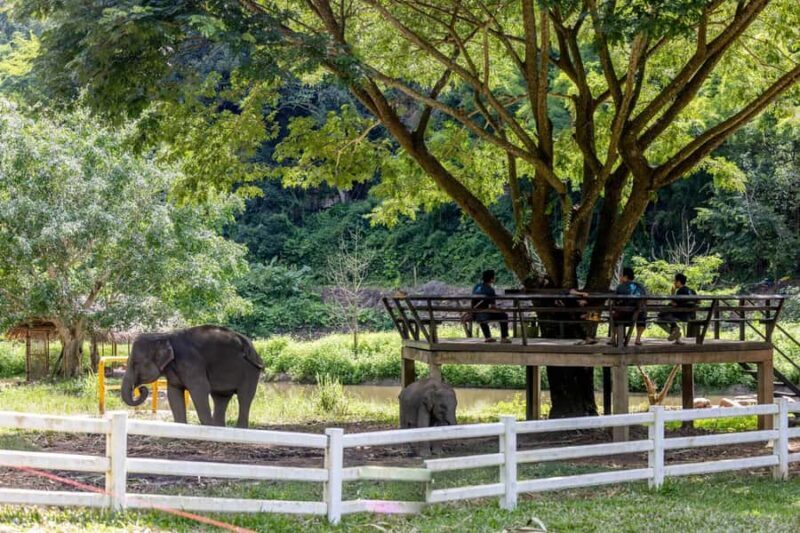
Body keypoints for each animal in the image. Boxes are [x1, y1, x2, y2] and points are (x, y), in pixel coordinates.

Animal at [121, 325, 263, 428]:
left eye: (135, 363)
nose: (141, 389)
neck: (165, 336)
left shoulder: (191, 363)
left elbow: (200, 390)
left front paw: (207, 427)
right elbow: (174, 394)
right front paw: (181, 426)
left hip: (251, 371)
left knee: (244, 397)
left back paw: (238, 428)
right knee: (220, 398)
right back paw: (220, 428)